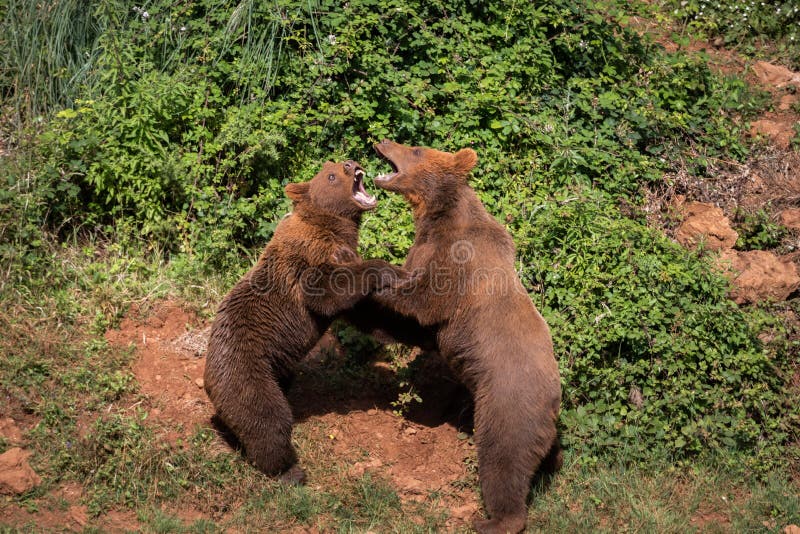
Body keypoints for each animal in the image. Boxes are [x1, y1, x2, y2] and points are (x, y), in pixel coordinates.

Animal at [203, 160, 410, 484]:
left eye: (335, 165)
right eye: (332, 175)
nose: (351, 163)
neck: (335, 227)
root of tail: (208, 378)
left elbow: (362, 309)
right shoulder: (308, 262)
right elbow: (328, 290)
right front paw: (389, 270)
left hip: (278, 369)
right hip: (247, 372)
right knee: (267, 418)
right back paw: (289, 470)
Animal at [369, 140, 562, 534]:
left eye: (415, 149)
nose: (382, 140)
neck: (436, 214)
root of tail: (555, 400)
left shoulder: (457, 261)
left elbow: (424, 300)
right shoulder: (425, 250)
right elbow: (416, 323)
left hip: (507, 405)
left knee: (502, 459)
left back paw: (492, 520)